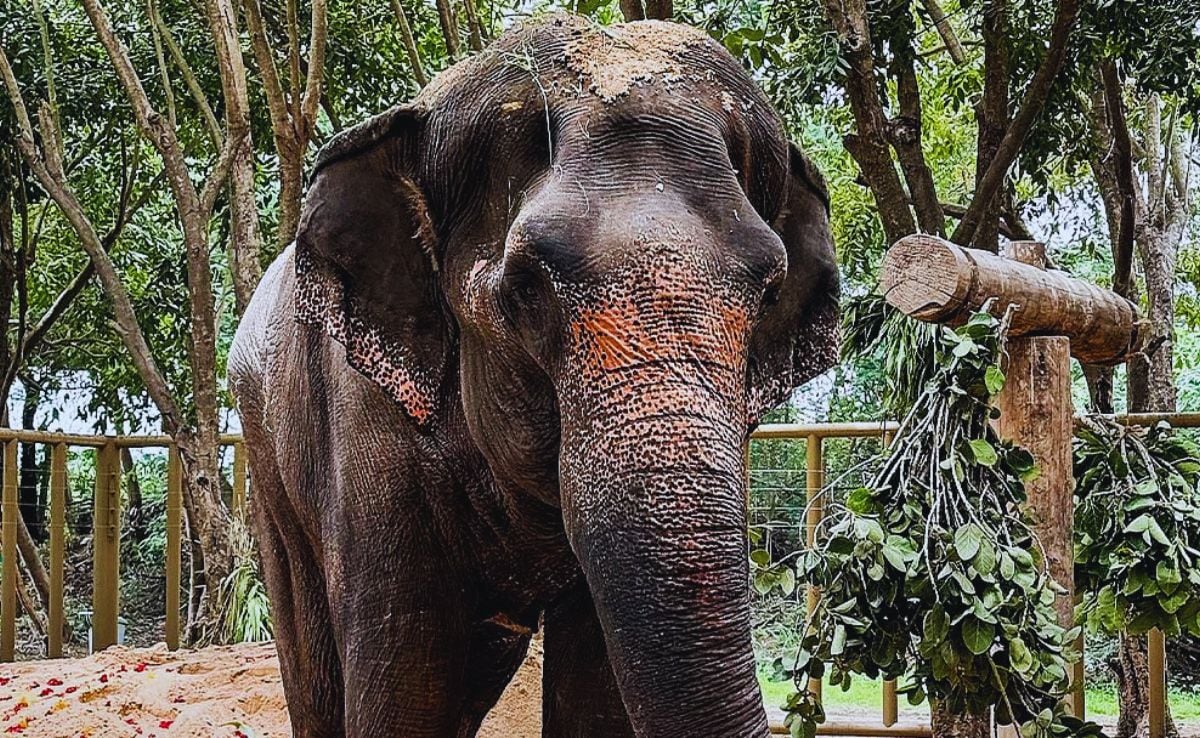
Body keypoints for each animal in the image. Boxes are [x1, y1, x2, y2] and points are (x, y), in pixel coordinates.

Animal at [229, 13, 838, 738]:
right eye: (525, 288)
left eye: (769, 293)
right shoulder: (365, 422)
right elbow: (404, 684)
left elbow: (597, 691)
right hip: (266, 457)